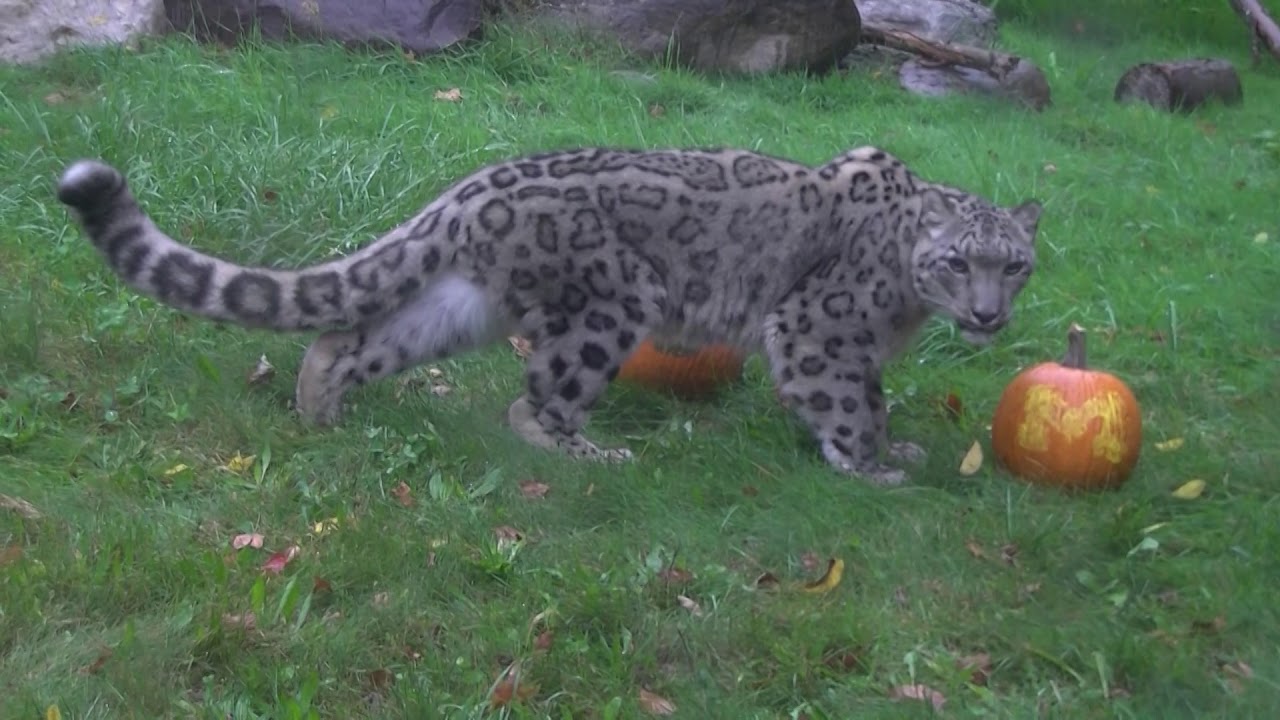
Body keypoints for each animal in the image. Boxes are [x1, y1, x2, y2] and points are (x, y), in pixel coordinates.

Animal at [56, 145, 1041, 485]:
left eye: (1017, 266)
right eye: (959, 262)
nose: (989, 317)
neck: (907, 305)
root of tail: (468, 192)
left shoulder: (861, 347)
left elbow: (870, 396)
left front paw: (895, 447)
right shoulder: (820, 327)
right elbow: (845, 401)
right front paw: (872, 466)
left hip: (461, 305)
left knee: (350, 338)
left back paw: (319, 410)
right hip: (615, 302)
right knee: (535, 400)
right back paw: (591, 453)